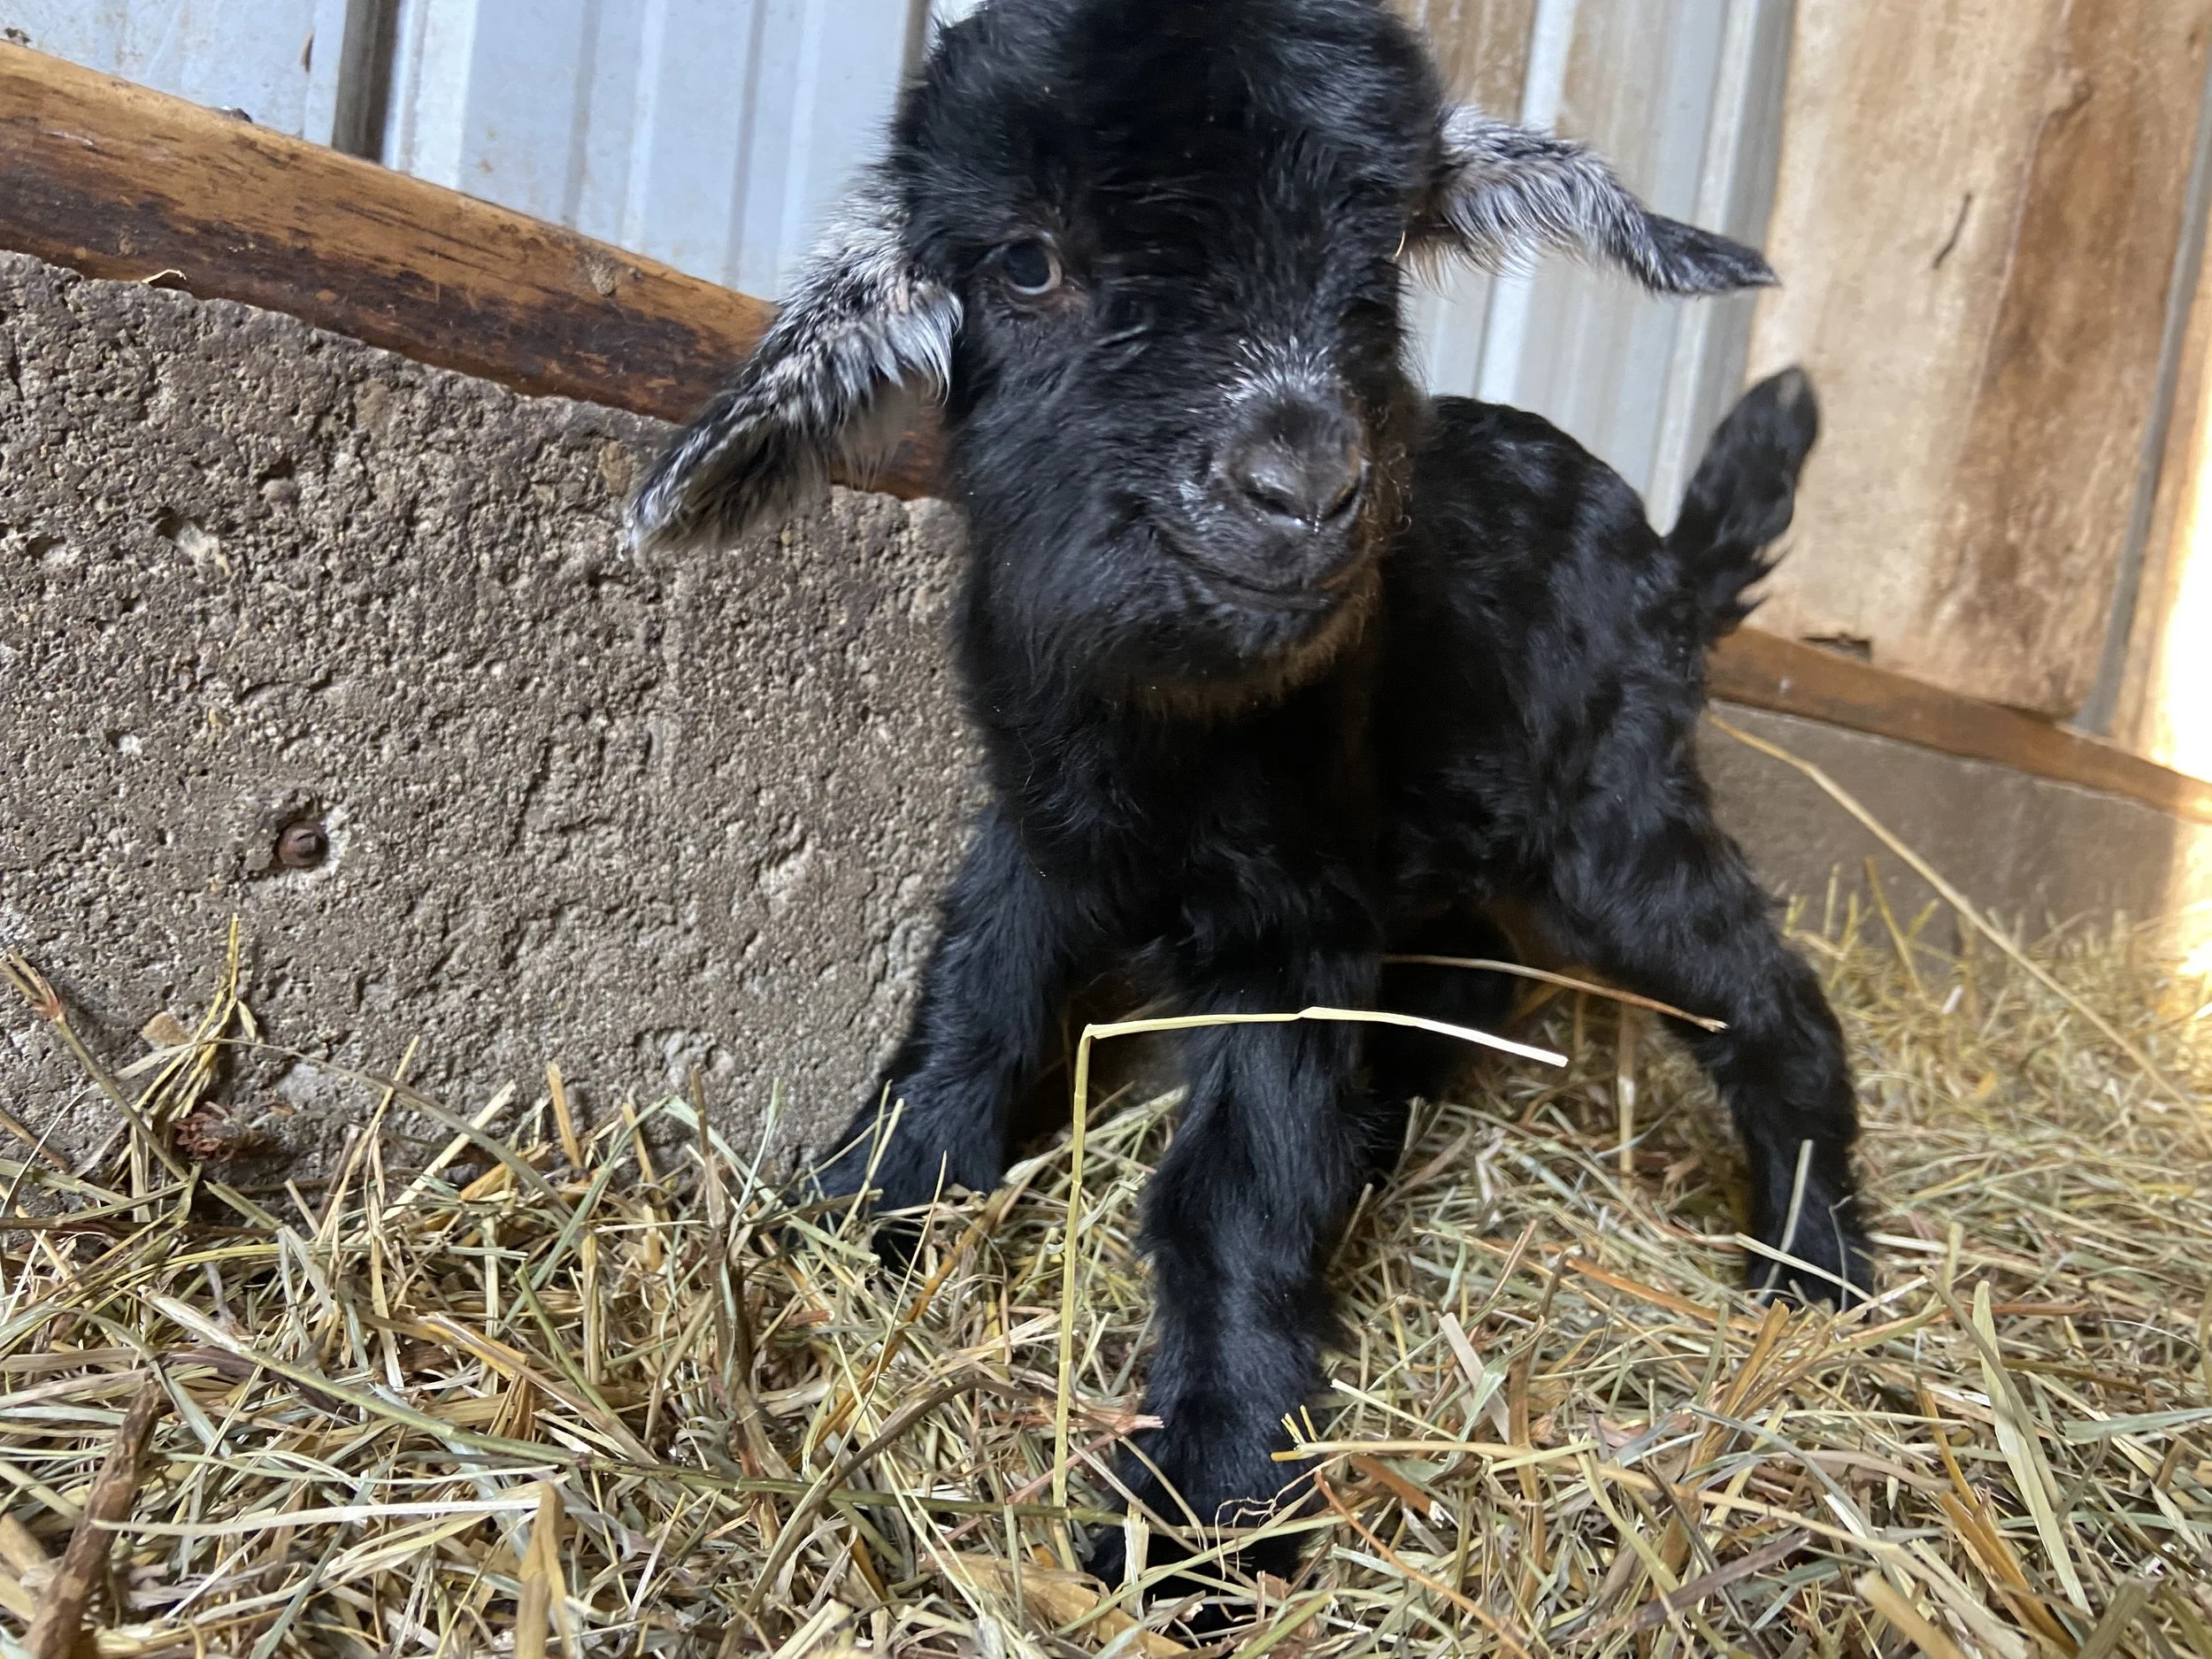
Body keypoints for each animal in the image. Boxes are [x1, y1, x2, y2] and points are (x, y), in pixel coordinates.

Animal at [631, 0, 1868, 1591]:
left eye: (1378, 258)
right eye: (1024, 262)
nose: (1300, 486)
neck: (1167, 720)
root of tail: (1666, 558)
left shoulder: (1300, 917)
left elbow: (1233, 1192)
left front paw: (1204, 1507)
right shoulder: (1038, 832)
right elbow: (967, 1014)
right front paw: (861, 1214)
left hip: (1616, 806)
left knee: (1763, 997)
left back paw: (1819, 1264)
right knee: (1472, 982)